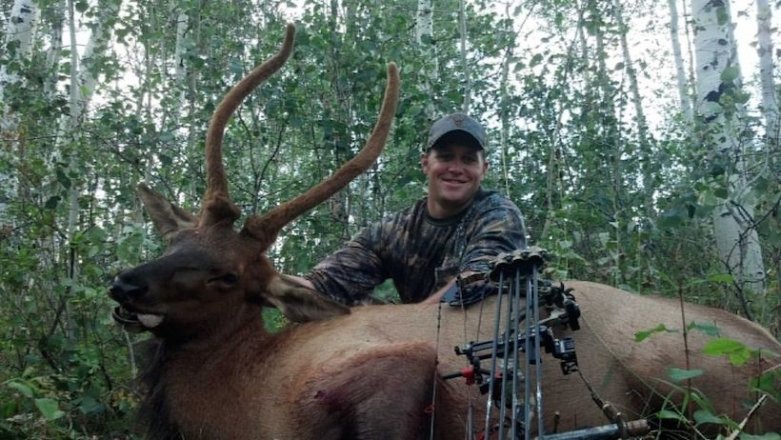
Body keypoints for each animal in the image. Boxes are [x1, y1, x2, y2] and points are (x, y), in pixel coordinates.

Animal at [109, 24, 781, 439]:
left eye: (228, 276)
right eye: (172, 243)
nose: (125, 285)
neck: (235, 394)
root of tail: (768, 342)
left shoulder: (395, 373)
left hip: (688, 380)